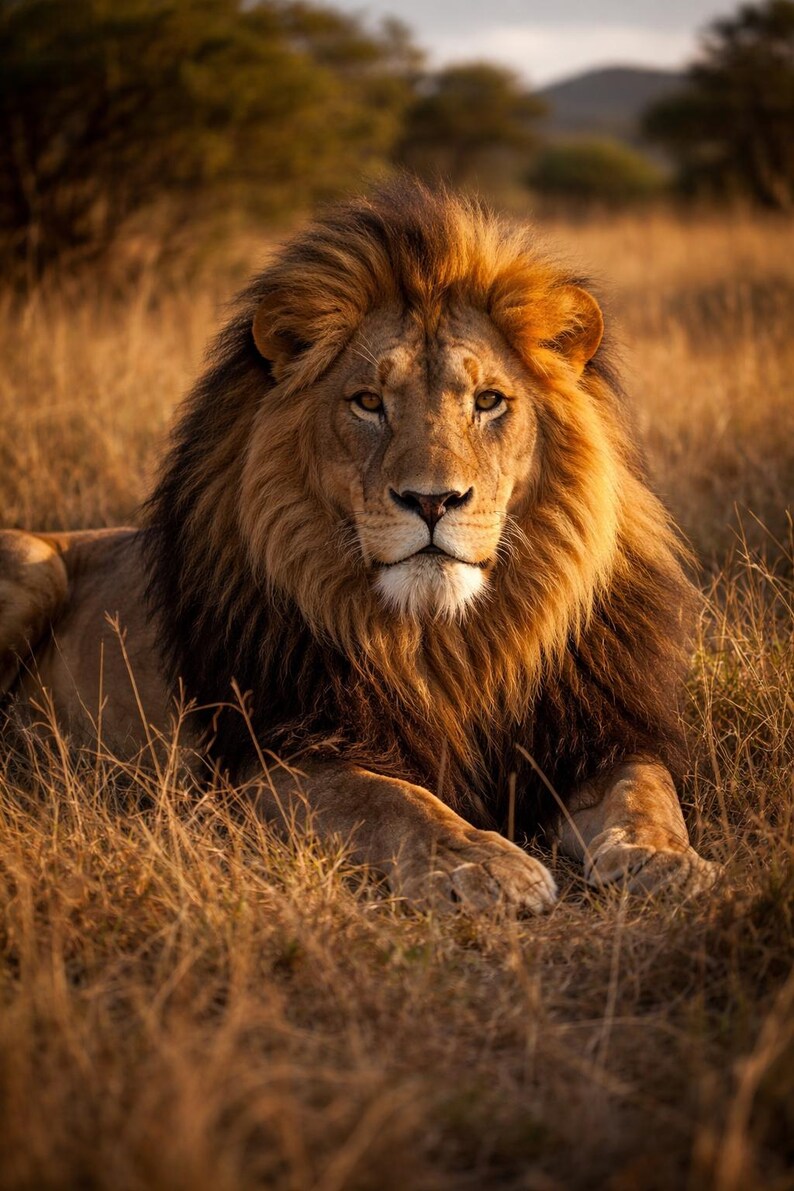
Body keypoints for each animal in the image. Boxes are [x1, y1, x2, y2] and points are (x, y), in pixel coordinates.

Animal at [0, 181, 718, 911]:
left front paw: (665, 861)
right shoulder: (270, 759)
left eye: (489, 401)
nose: (432, 501)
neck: (448, 641)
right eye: (369, 402)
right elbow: (394, 800)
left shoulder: (596, 731)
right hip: (34, 565)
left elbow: (645, 791)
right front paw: (482, 862)